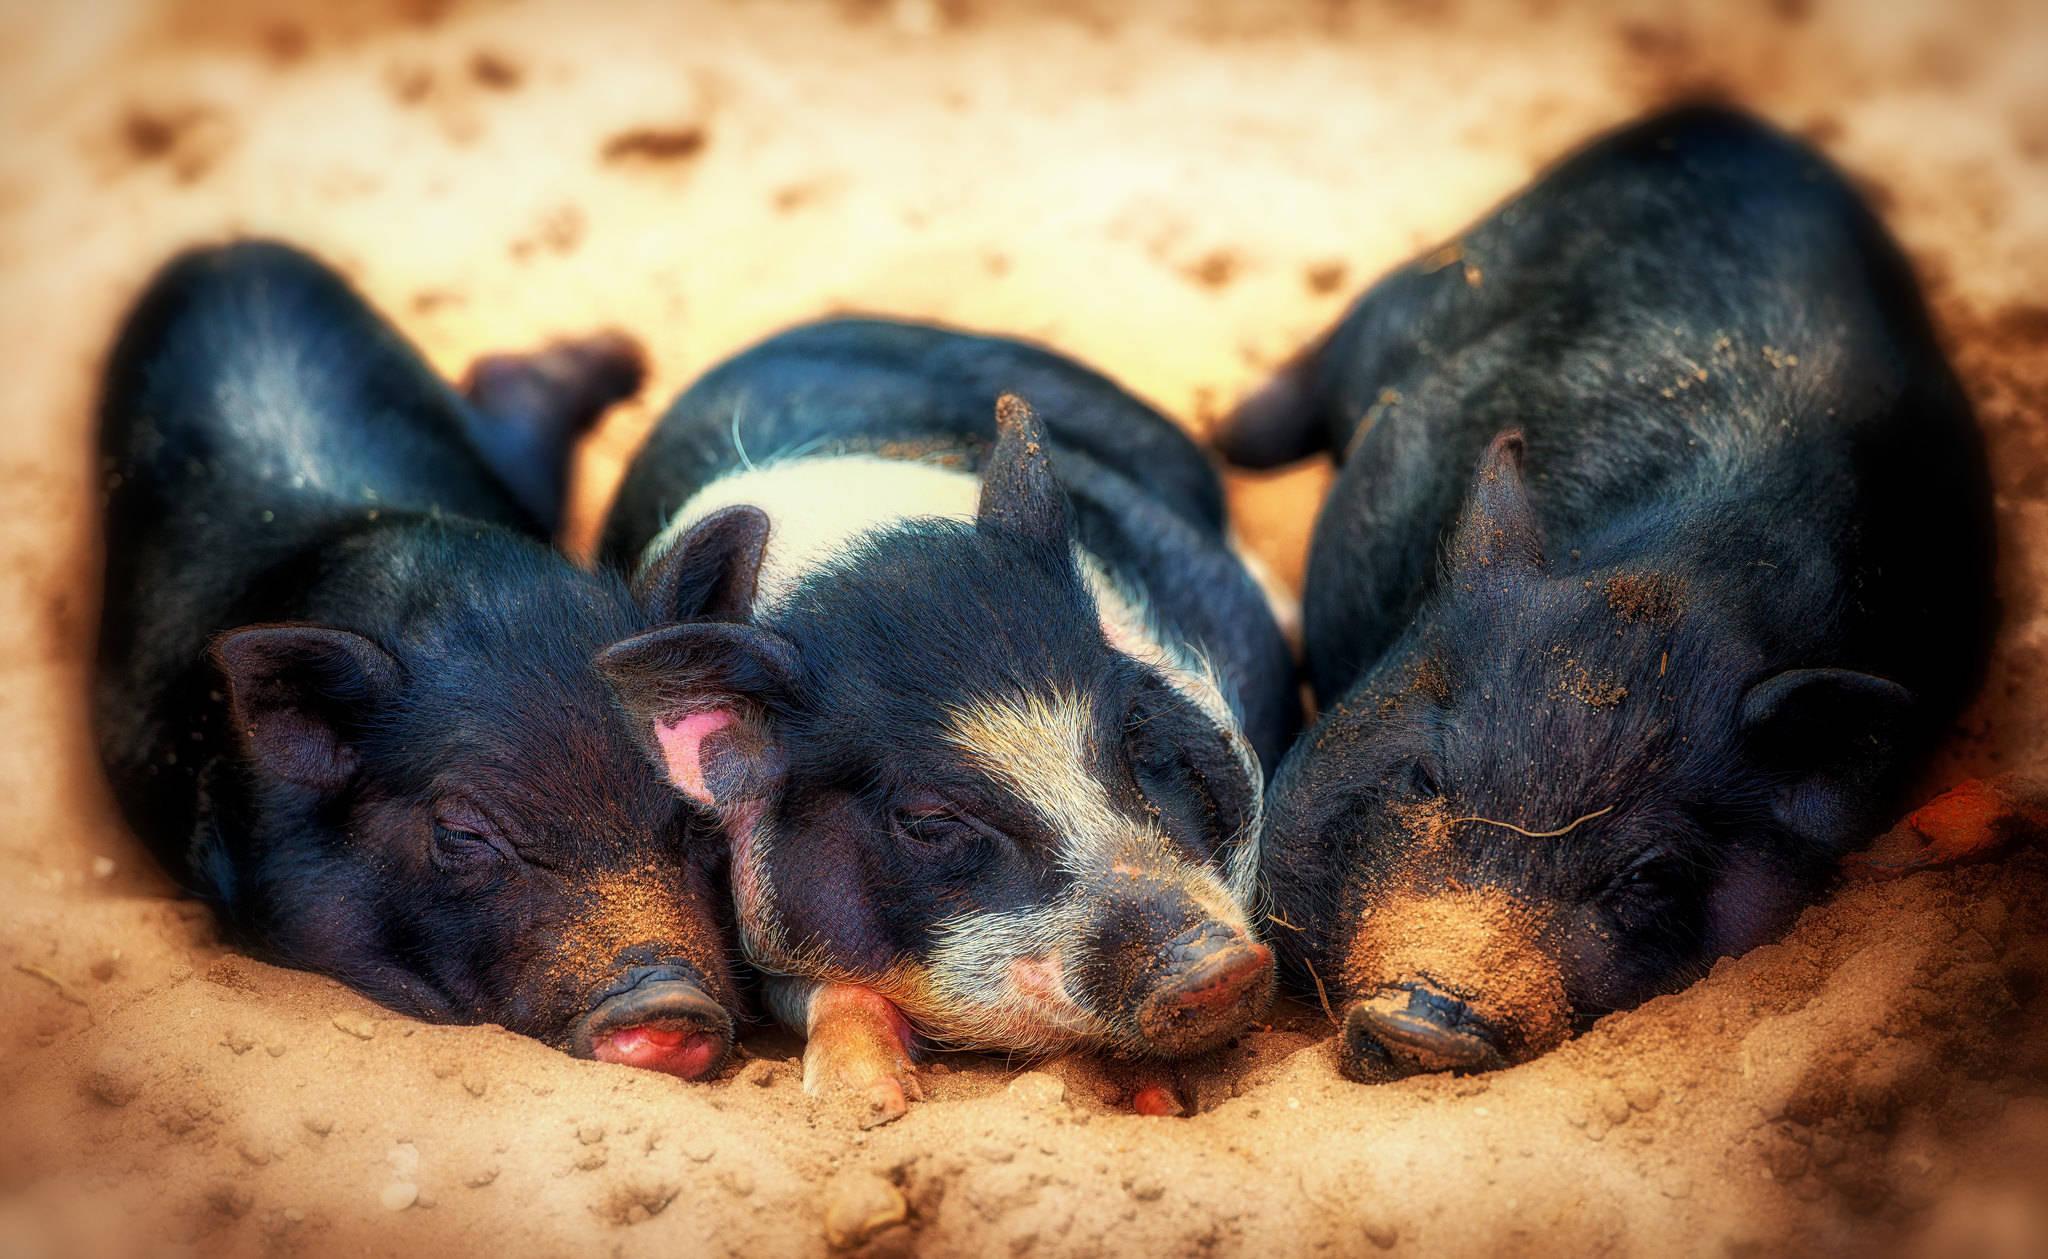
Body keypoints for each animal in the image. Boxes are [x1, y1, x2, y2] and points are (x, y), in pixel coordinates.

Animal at [1215, 106, 1996, 1079]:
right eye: (1425, 779)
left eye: (1649, 870)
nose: (1428, 1019)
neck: (1678, 578)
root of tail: (1719, 119)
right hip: (1446, 272)